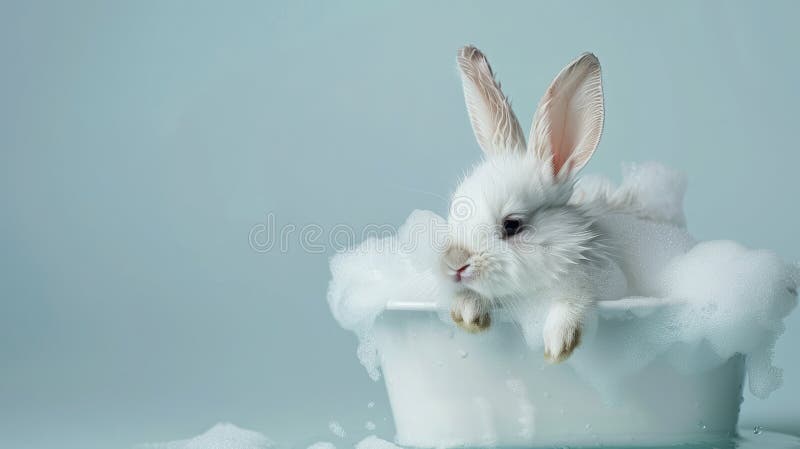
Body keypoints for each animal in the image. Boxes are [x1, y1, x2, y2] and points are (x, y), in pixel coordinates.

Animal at [442, 46, 614, 363]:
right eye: (454, 211)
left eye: (512, 225)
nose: (455, 264)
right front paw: (467, 313)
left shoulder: (585, 286)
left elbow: (572, 305)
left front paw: (558, 346)